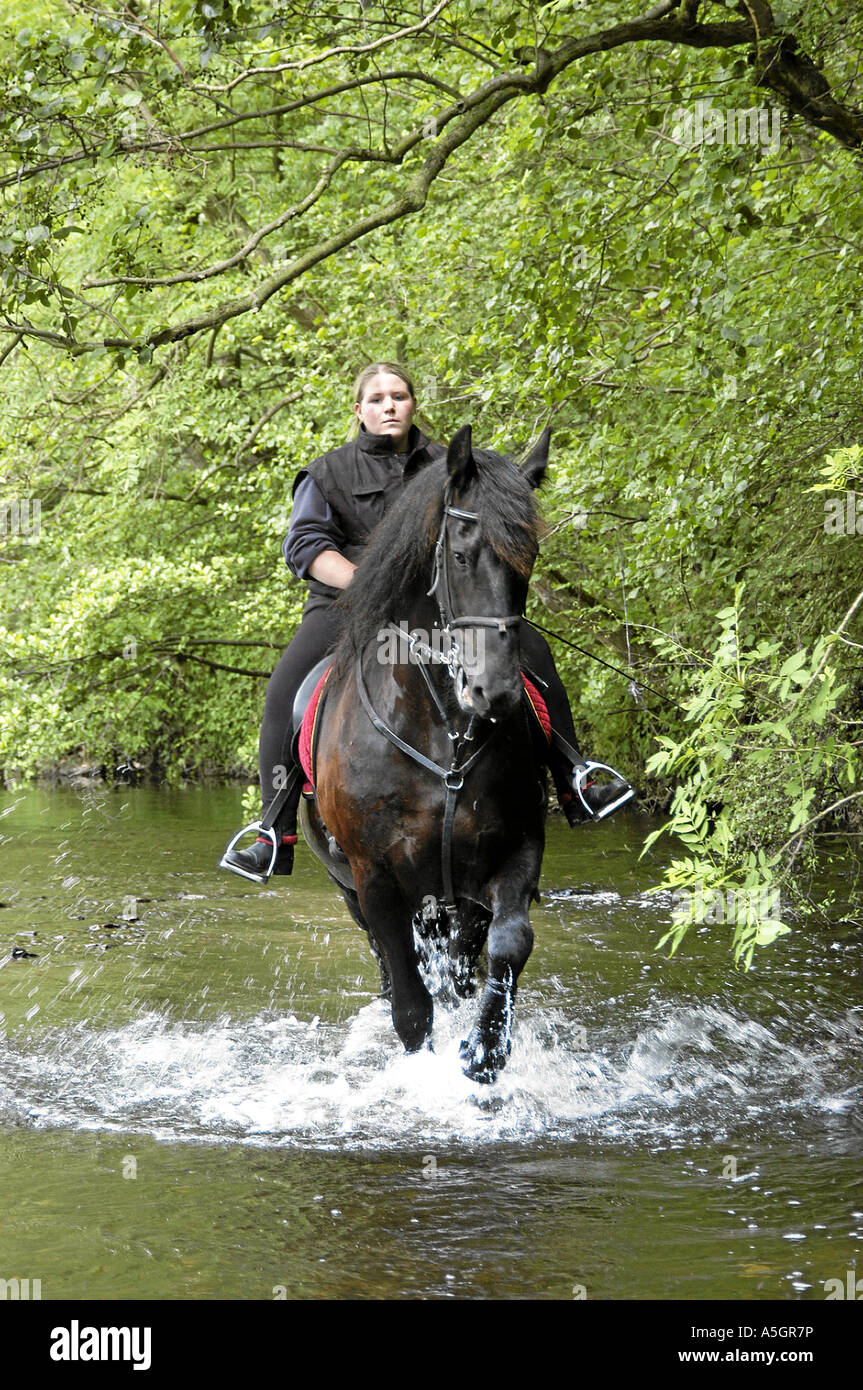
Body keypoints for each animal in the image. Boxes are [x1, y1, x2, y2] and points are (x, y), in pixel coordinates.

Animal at [300, 423, 551, 1083]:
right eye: (460, 556)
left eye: (529, 560)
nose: (496, 693)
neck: (442, 730)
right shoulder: (374, 880)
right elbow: (411, 1008)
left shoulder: (515, 850)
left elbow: (509, 945)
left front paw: (485, 1052)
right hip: (352, 890)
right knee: (398, 973)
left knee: (458, 969)